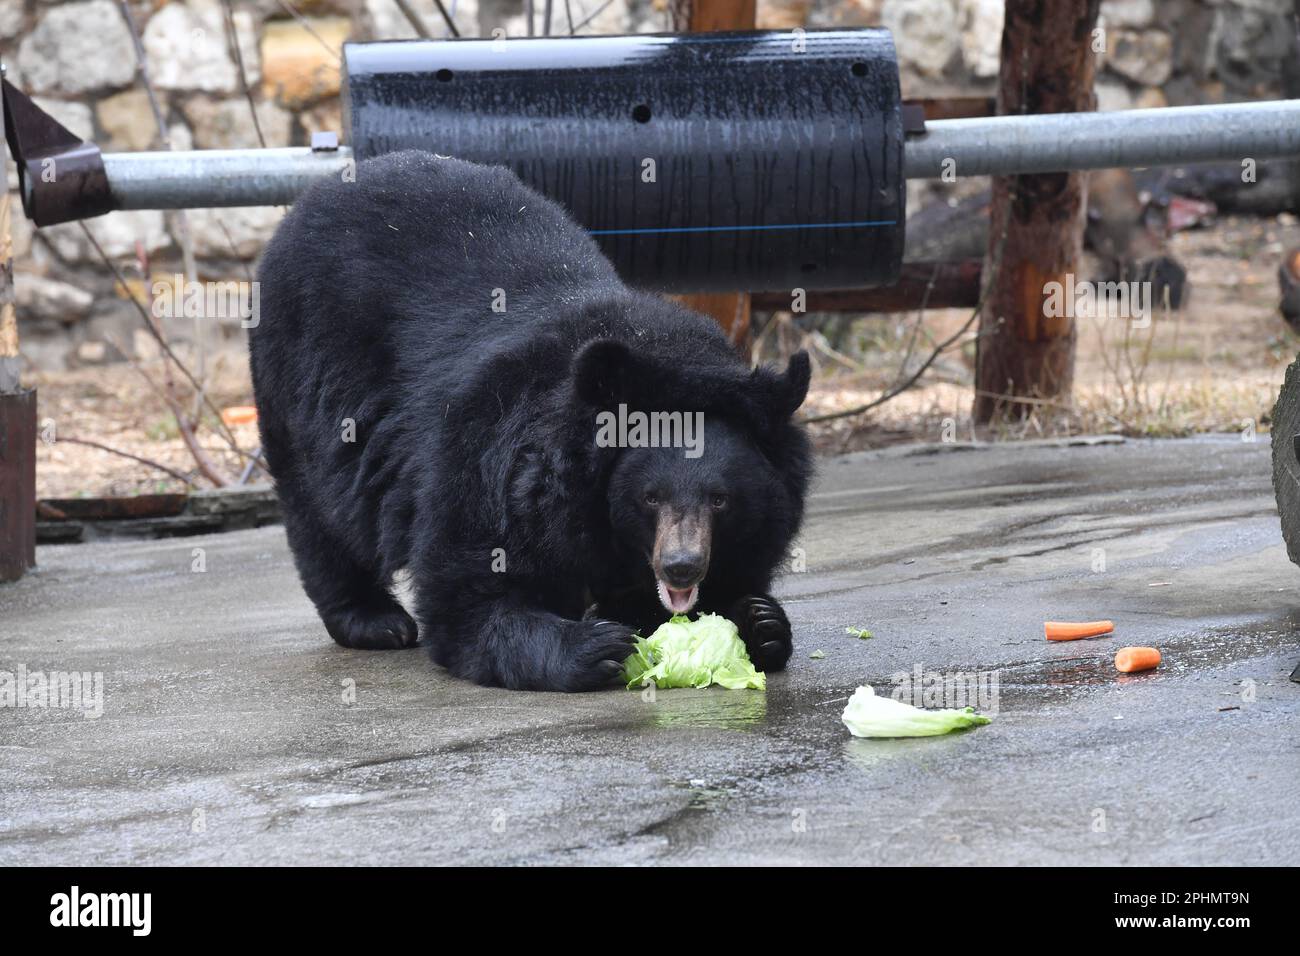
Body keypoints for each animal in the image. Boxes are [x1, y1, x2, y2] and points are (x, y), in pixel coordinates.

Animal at [250, 151, 812, 691]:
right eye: (651, 497)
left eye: (721, 500)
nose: (680, 565)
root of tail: (316, 195)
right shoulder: (491, 456)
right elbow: (471, 594)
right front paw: (598, 644)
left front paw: (758, 621)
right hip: (303, 378)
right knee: (320, 506)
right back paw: (374, 621)